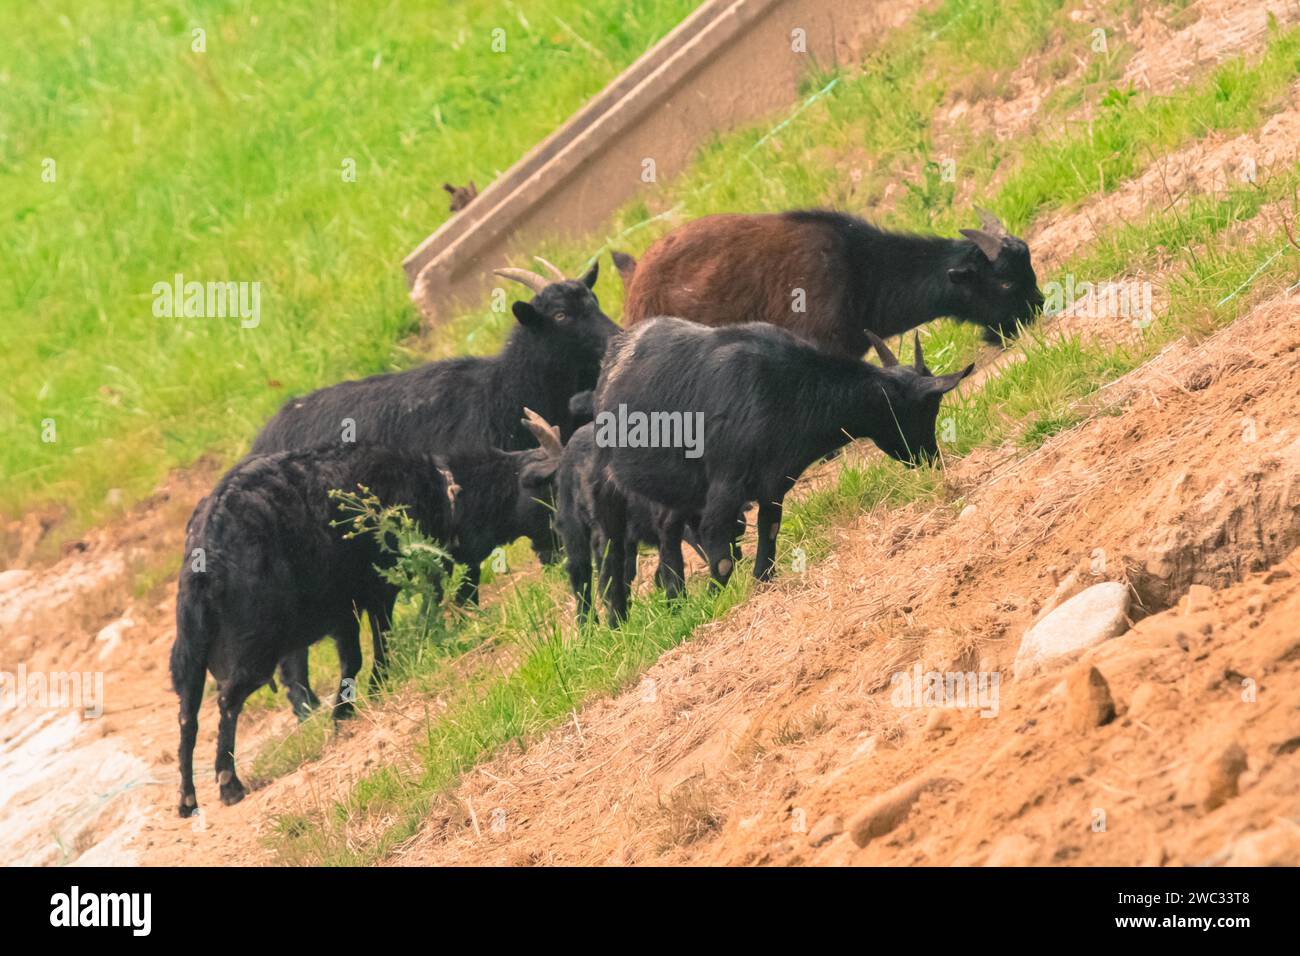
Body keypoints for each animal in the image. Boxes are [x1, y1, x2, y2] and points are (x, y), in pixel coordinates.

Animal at [170, 443, 453, 816]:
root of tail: (206, 552)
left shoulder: (344, 612)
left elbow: (352, 659)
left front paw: (345, 712)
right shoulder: (373, 594)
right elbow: (372, 650)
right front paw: (363, 698)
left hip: (192, 653)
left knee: (188, 717)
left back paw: (187, 798)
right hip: (255, 650)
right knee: (228, 701)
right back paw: (229, 783)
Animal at [590, 319, 972, 621]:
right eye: (927, 408)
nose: (932, 459)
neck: (791, 389)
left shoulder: (774, 486)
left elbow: (769, 533)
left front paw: (760, 585)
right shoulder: (726, 487)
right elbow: (723, 556)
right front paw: (712, 604)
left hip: (678, 490)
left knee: (667, 530)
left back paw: (675, 602)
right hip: (609, 483)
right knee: (613, 557)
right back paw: (618, 619)